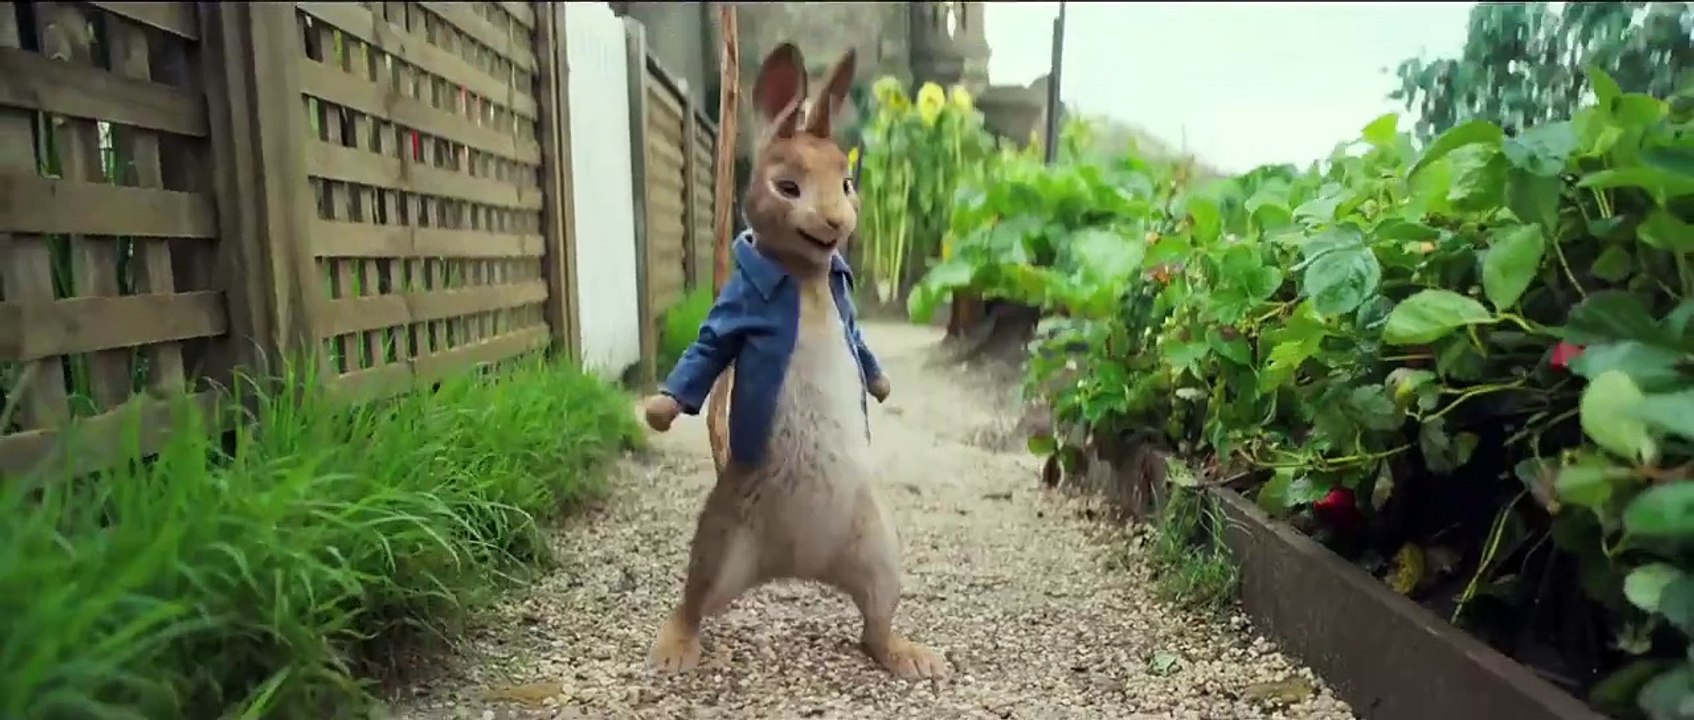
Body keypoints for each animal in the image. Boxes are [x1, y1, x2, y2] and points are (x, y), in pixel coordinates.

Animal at [638, 43, 950, 681]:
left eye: (849, 183)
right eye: (786, 187)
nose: (836, 224)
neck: (806, 276)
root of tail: (798, 566)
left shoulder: (847, 315)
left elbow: (862, 345)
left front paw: (881, 387)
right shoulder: (732, 311)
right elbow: (706, 351)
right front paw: (659, 412)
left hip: (880, 550)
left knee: (874, 625)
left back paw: (907, 655)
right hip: (723, 540)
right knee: (693, 600)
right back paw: (675, 647)